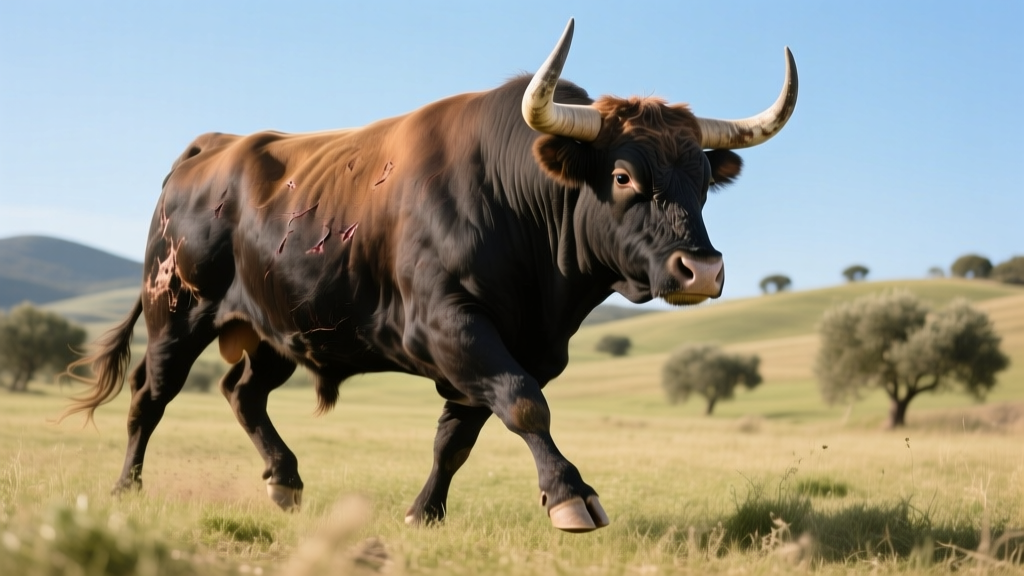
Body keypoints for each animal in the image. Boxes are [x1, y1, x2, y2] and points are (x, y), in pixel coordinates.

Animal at [64, 19, 797, 533]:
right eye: (623, 176)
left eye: (704, 180)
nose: (701, 268)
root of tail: (213, 147)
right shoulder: (452, 325)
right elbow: (524, 403)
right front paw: (571, 495)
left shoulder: (507, 345)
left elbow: (459, 436)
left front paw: (425, 512)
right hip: (176, 313)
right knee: (150, 397)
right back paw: (127, 487)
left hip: (281, 327)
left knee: (242, 392)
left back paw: (284, 478)